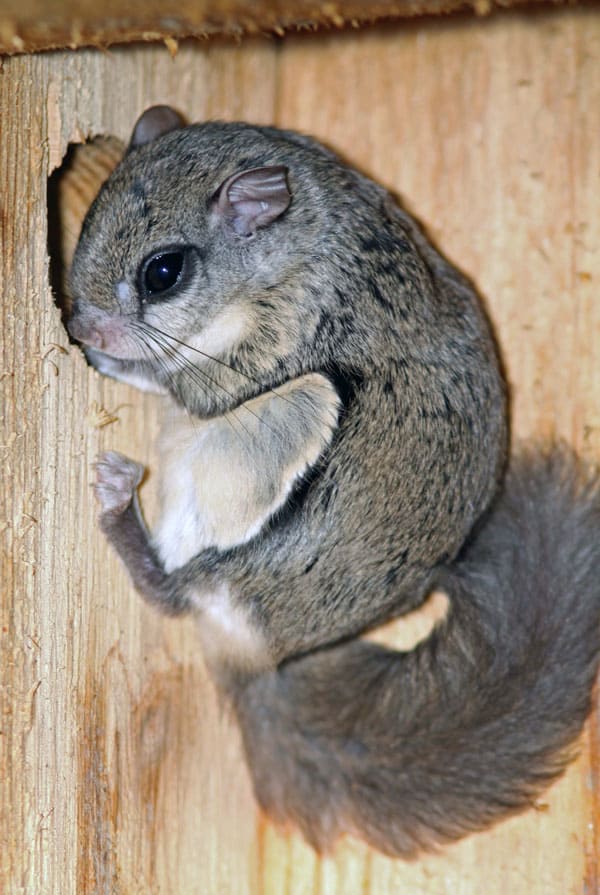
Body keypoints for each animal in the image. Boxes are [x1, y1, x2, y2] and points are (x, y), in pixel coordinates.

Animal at [67, 105, 600, 856]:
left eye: (163, 272)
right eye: (90, 220)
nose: (83, 324)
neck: (289, 248)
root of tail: (262, 655)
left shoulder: (288, 332)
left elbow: (184, 381)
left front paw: (112, 362)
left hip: (289, 425)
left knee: (175, 592)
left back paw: (122, 510)